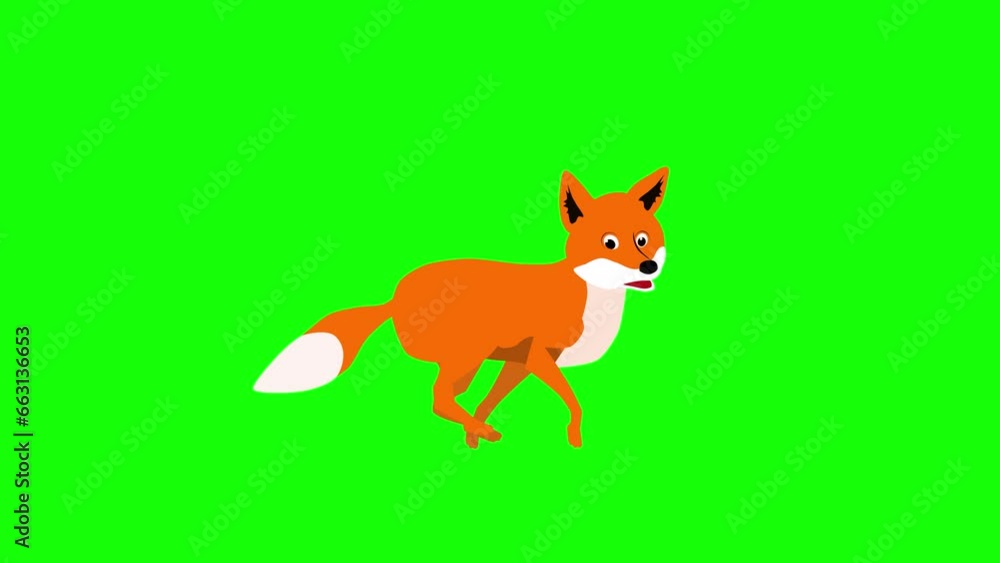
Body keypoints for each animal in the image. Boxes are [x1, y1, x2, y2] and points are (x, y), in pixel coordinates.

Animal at [254, 167, 669, 448]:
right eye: (609, 243)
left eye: (643, 239)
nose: (649, 267)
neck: (591, 295)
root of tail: (395, 295)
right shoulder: (541, 355)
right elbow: (575, 402)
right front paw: (575, 438)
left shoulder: (521, 361)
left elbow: (490, 399)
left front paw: (475, 436)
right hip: (470, 352)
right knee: (438, 399)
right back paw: (477, 428)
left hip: (469, 362)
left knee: (447, 398)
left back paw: (474, 429)